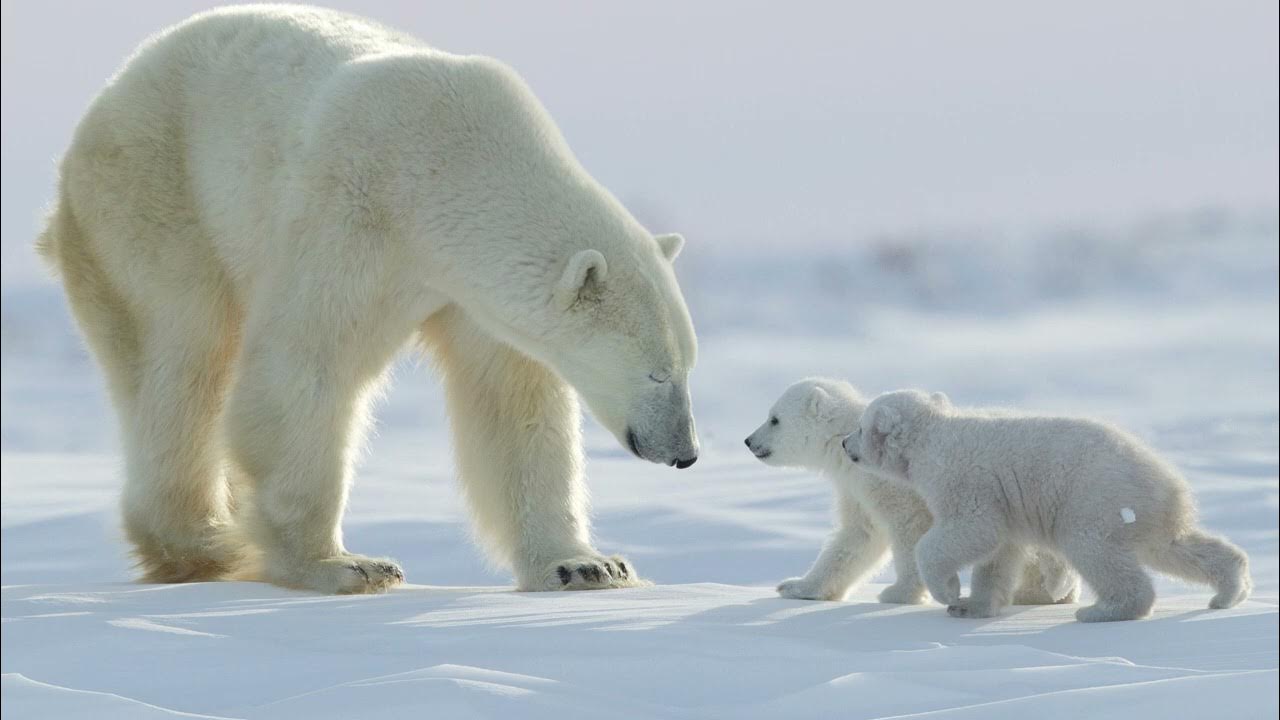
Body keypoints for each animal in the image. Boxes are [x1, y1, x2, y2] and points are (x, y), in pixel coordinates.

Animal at [36, 5, 699, 594]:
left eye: (687, 366)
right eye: (656, 373)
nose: (686, 454)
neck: (450, 163)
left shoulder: (470, 293)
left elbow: (512, 403)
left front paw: (587, 565)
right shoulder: (355, 213)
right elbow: (305, 365)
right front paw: (344, 566)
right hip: (153, 197)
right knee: (184, 354)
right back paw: (206, 544)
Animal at [745, 379, 1079, 605]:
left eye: (774, 418)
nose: (749, 441)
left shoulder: (888, 483)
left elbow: (909, 529)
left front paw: (899, 592)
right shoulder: (855, 488)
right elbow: (858, 536)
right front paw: (796, 586)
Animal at [847, 389, 1252, 622]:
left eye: (861, 427)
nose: (843, 444)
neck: (931, 435)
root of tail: (1171, 482)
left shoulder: (960, 478)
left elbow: (971, 530)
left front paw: (947, 591)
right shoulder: (1003, 502)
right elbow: (1000, 553)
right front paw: (970, 606)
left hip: (1096, 498)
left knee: (1093, 550)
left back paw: (1102, 610)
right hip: (1143, 509)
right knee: (1173, 547)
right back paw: (1228, 592)